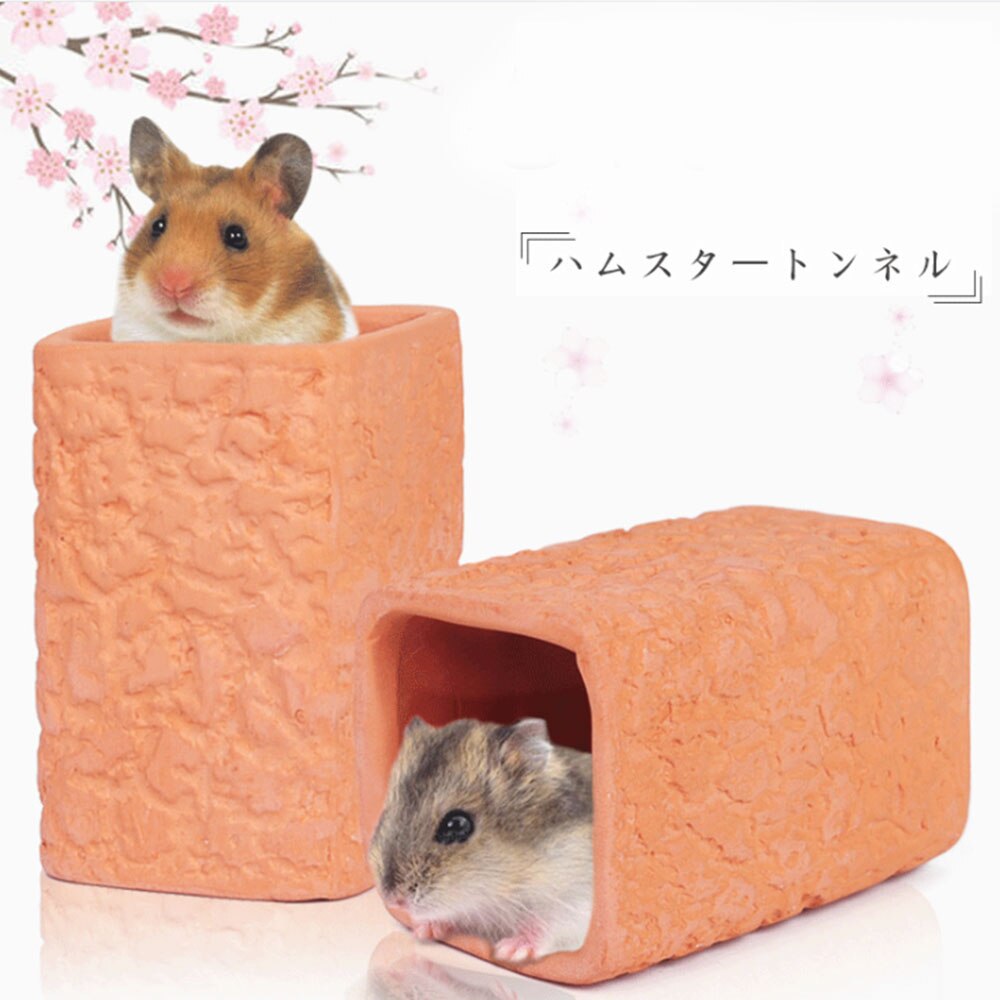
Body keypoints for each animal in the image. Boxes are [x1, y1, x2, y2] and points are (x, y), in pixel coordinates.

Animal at [368, 717, 593, 964]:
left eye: (456, 825)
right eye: (387, 810)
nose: (392, 900)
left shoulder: (574, 900)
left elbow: (545, 925)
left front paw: (507, 951)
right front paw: (424, 930)